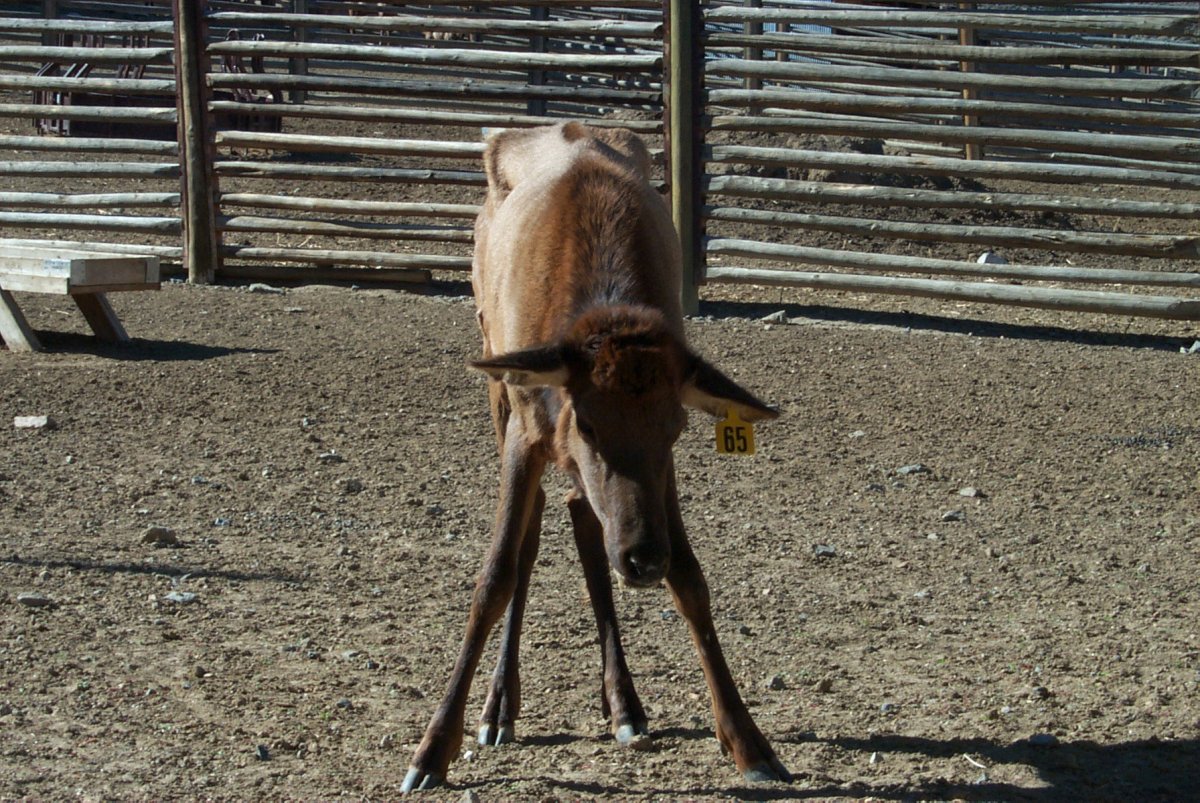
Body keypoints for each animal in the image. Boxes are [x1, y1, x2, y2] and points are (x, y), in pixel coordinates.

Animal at [401, 122, 790, 793]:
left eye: (676, 427)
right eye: (586, 419)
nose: (642, 559)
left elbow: (692, 578)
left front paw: (749, 742)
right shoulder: (528, 426)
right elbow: (496, 574)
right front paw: (432, 750)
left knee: (583, 517)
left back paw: (624, 705)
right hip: (496, 383)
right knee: (534, 538)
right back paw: (500, 707)